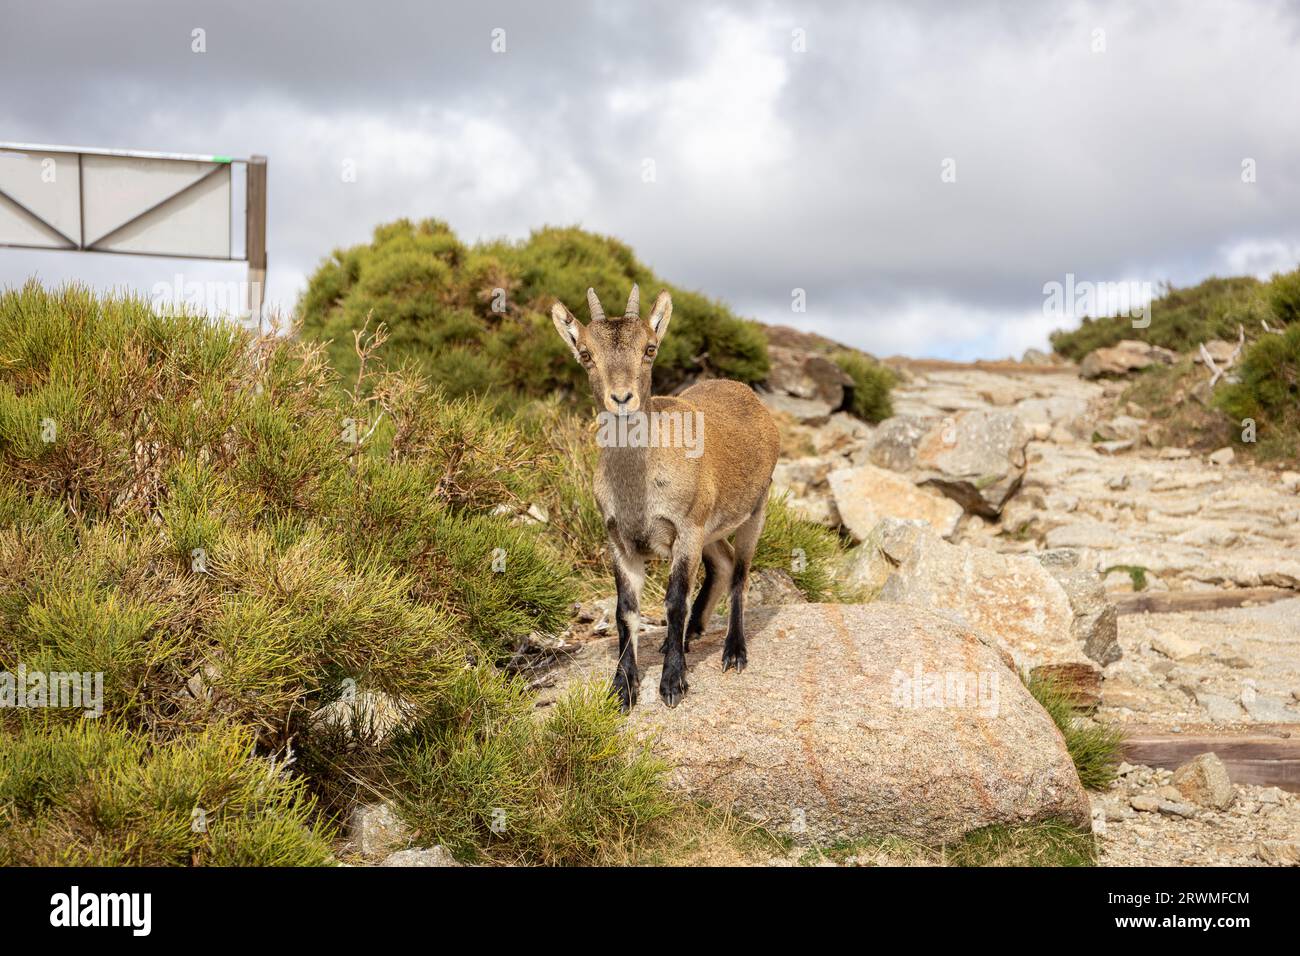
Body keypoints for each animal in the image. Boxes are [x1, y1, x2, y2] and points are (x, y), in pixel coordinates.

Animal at [550, 286, 780, 710]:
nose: (621, 398)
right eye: (586, 354)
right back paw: (693, 635)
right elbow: (625, 611)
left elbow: (674, 601)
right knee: (723, 562)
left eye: (650, 348)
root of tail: (745, 392)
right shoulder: (620, 541)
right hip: (710, 526)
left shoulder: (686, 530)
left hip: (755, 509)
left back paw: (733, 651)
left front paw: (673, 682)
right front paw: (623, 687)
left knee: (740, 573)